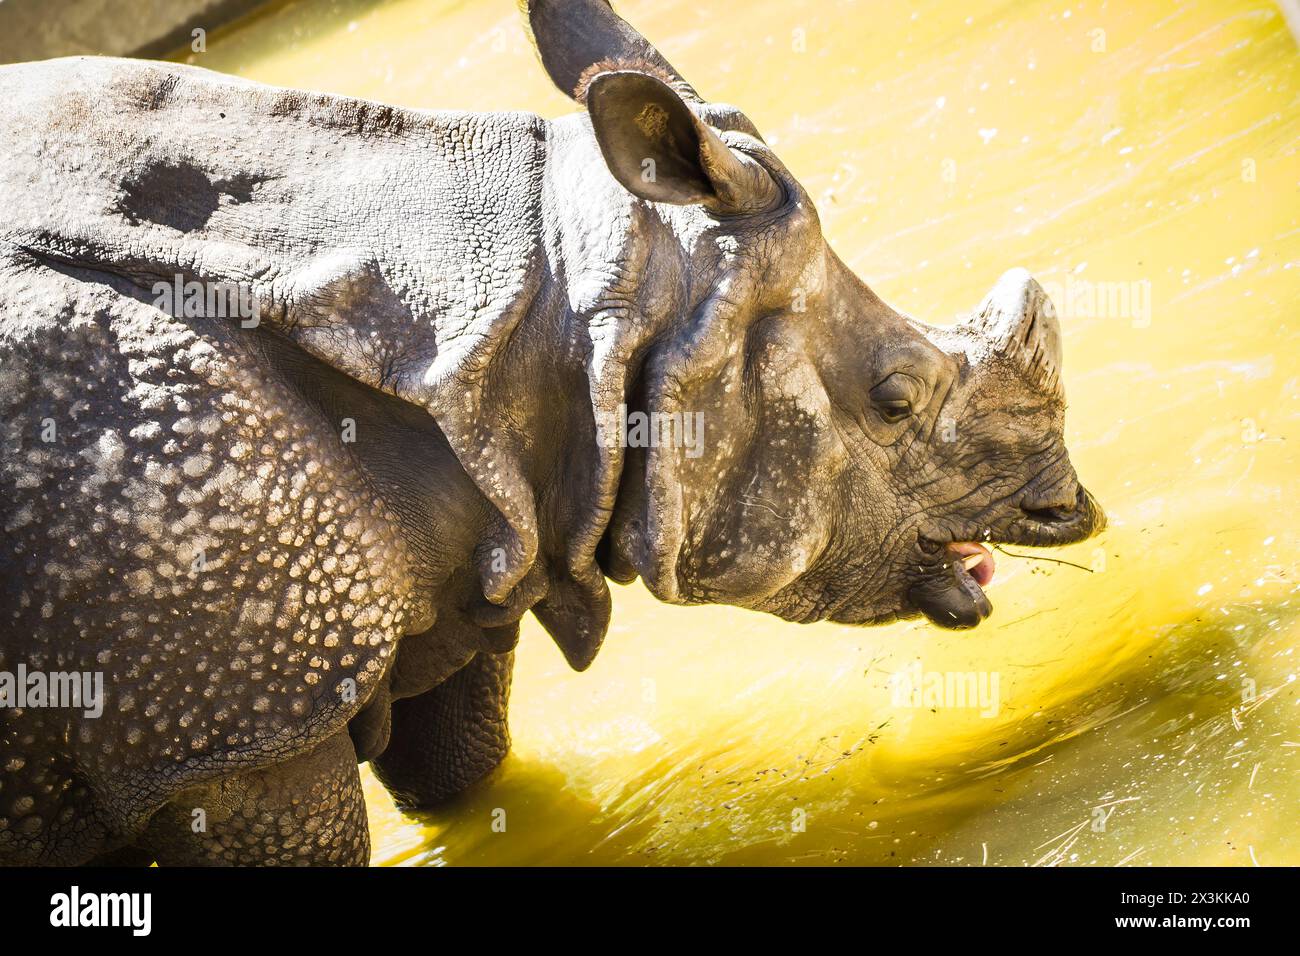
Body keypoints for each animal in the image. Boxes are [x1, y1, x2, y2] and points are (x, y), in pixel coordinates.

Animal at [0, 0, 1103, 866]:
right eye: (895, 399)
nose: (1070, 508)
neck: (559, 308)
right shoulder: (228, 730)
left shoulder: (471, 558)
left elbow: (464, 772)